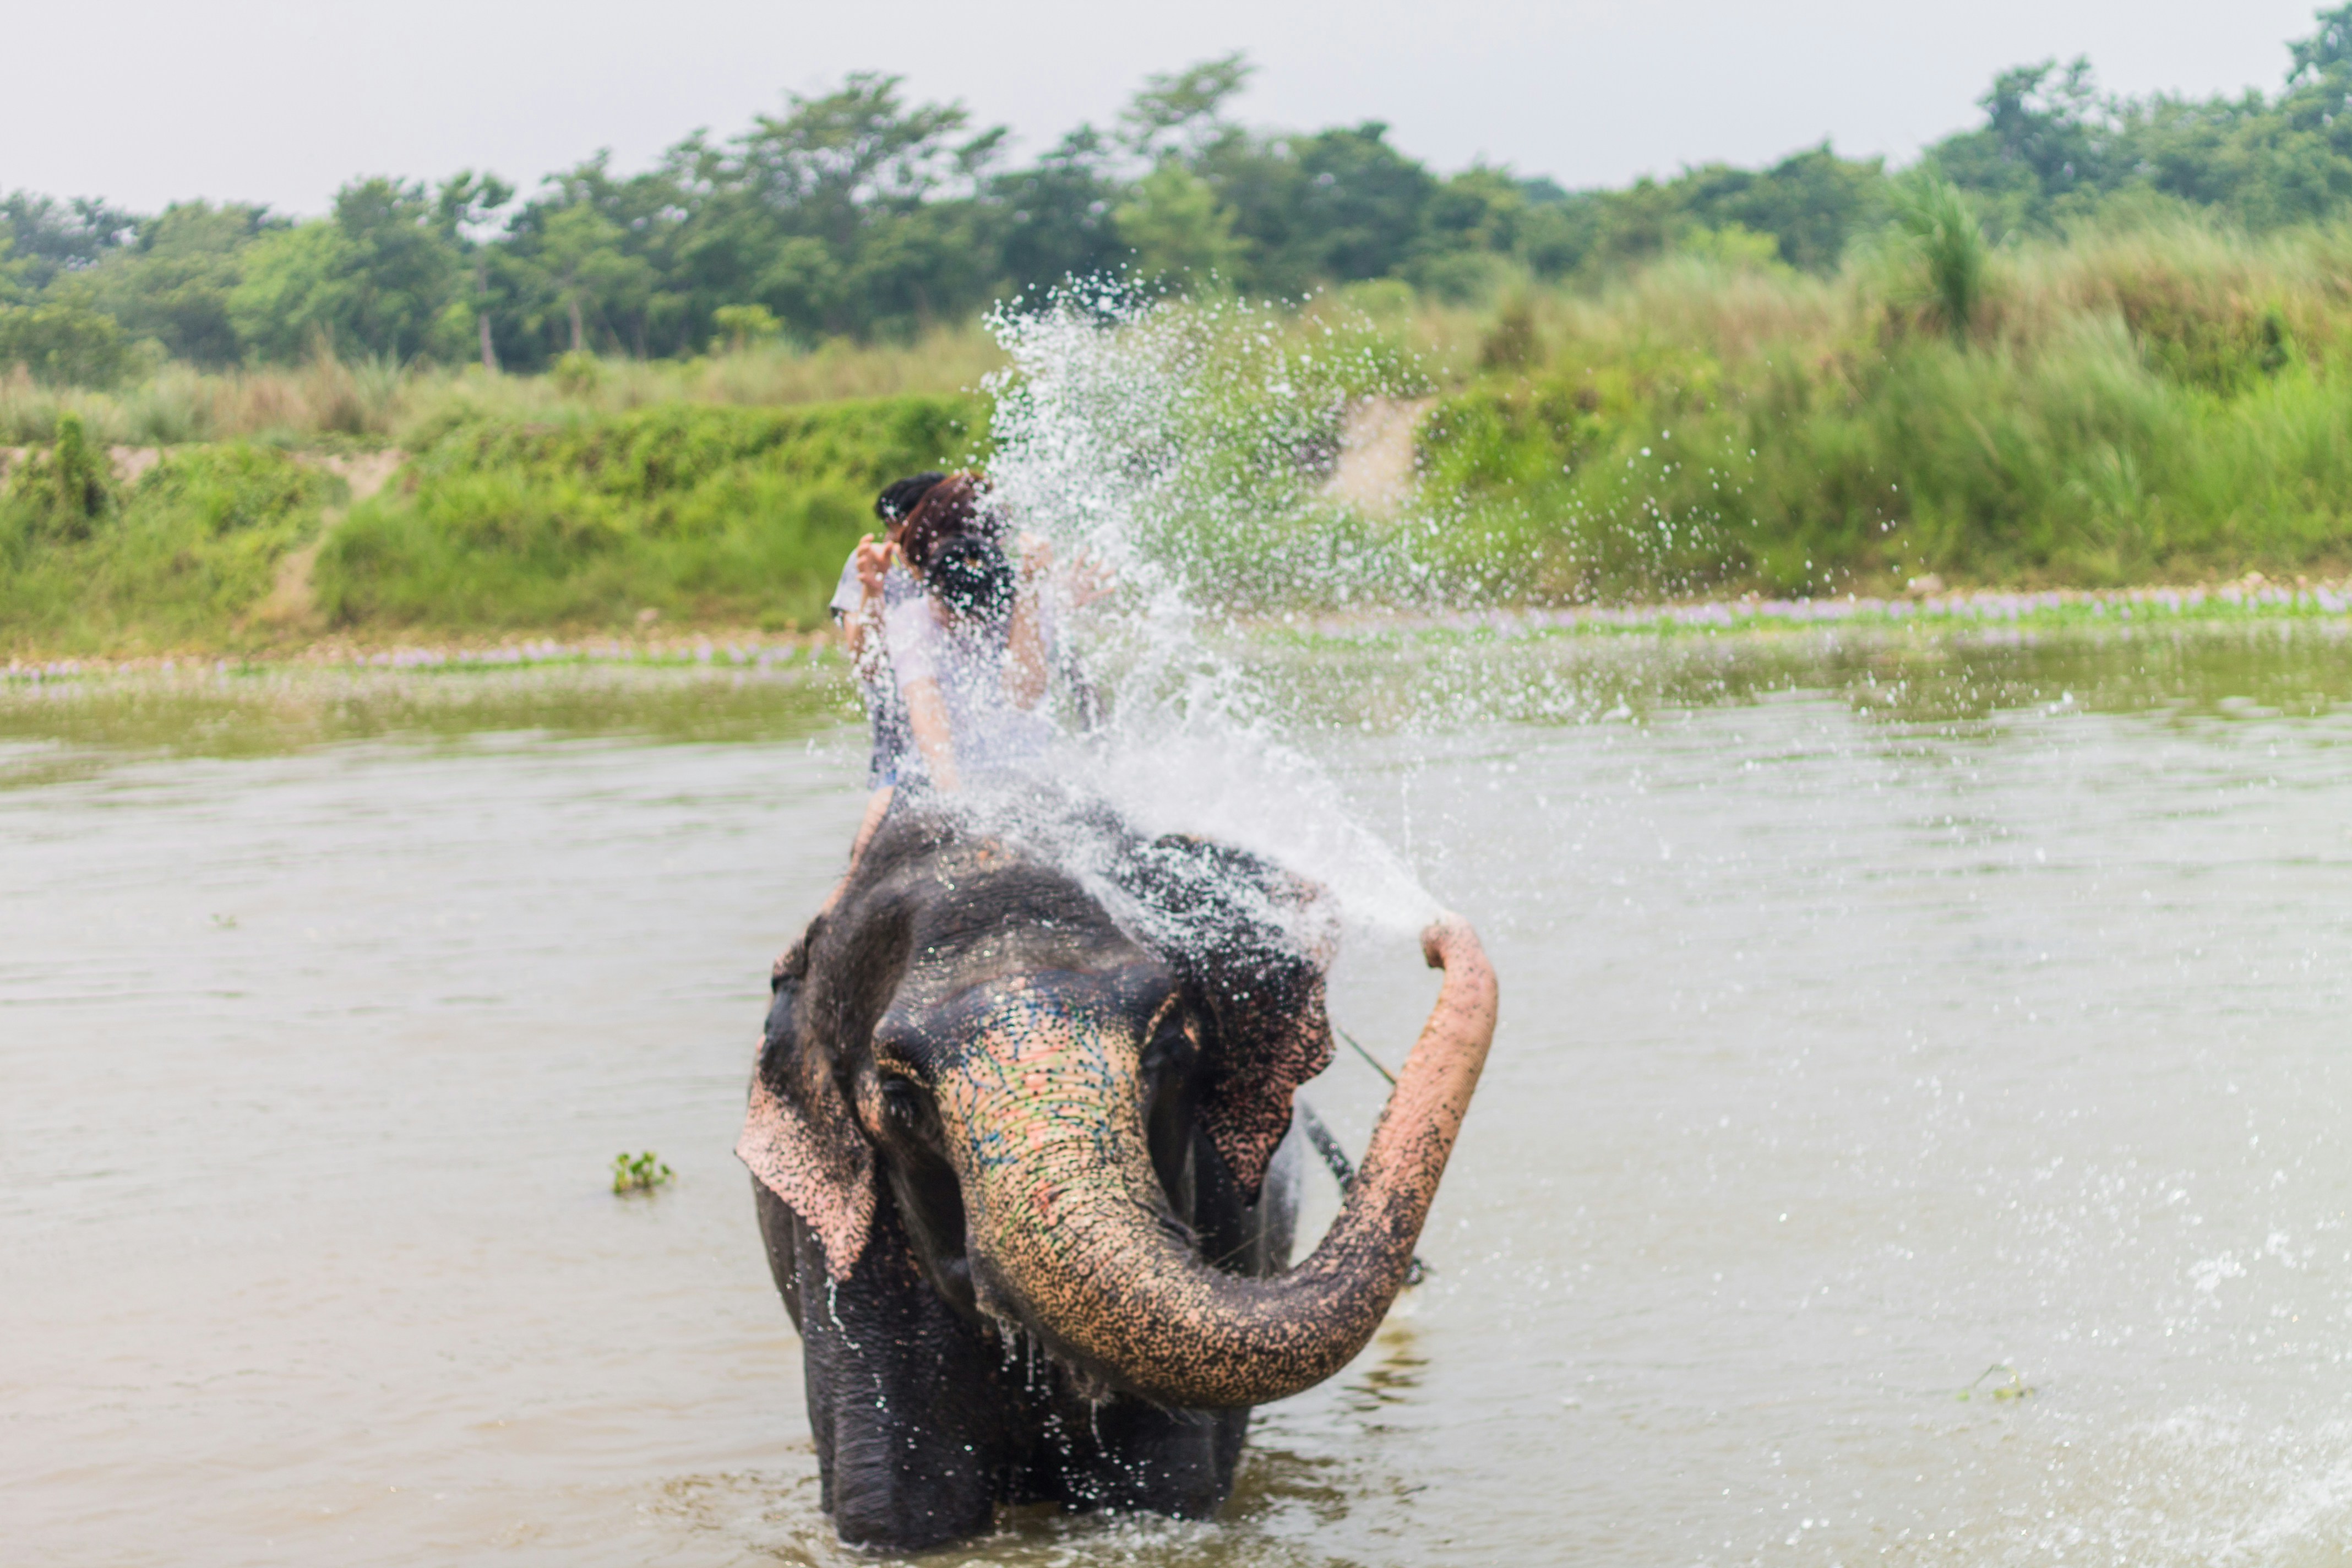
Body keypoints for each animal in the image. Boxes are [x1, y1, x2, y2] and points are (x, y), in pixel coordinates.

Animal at [737, 796, 1498, 1551]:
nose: (1436, 939)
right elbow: (893, 1512)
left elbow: (1168, 1488)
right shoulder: (848, 1257)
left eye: (1167, 1047)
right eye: (899, 1097)